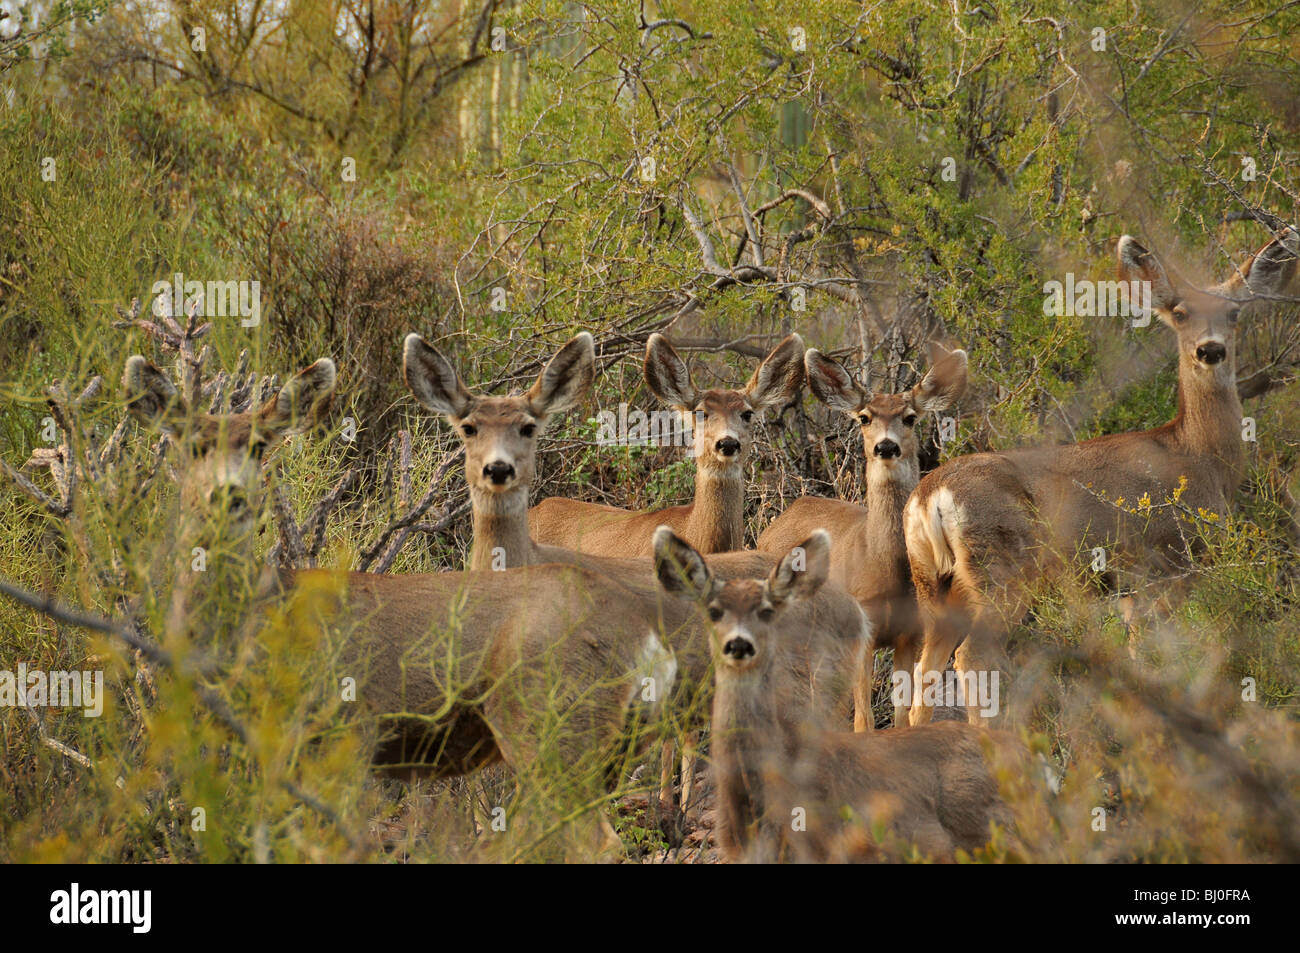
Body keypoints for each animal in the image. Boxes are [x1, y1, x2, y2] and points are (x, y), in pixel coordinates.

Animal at [757, 343, 968, 729]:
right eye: (865, 417)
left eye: (909, 417)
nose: (885, 447)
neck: (879, 563)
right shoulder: (862, 629)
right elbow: (863, 718)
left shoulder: (909, 634)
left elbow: (900, 714)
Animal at [905, 227, 1300, 727]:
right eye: (1180, 313)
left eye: (1233, 312)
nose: (1210, 350)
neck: (1199, 455)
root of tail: (929, 496)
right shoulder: (1171, 561)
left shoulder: (1130, 586)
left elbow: (1136, 656)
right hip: (1002, 566)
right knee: (971, 655)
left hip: (933, 581)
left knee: (924, 665)